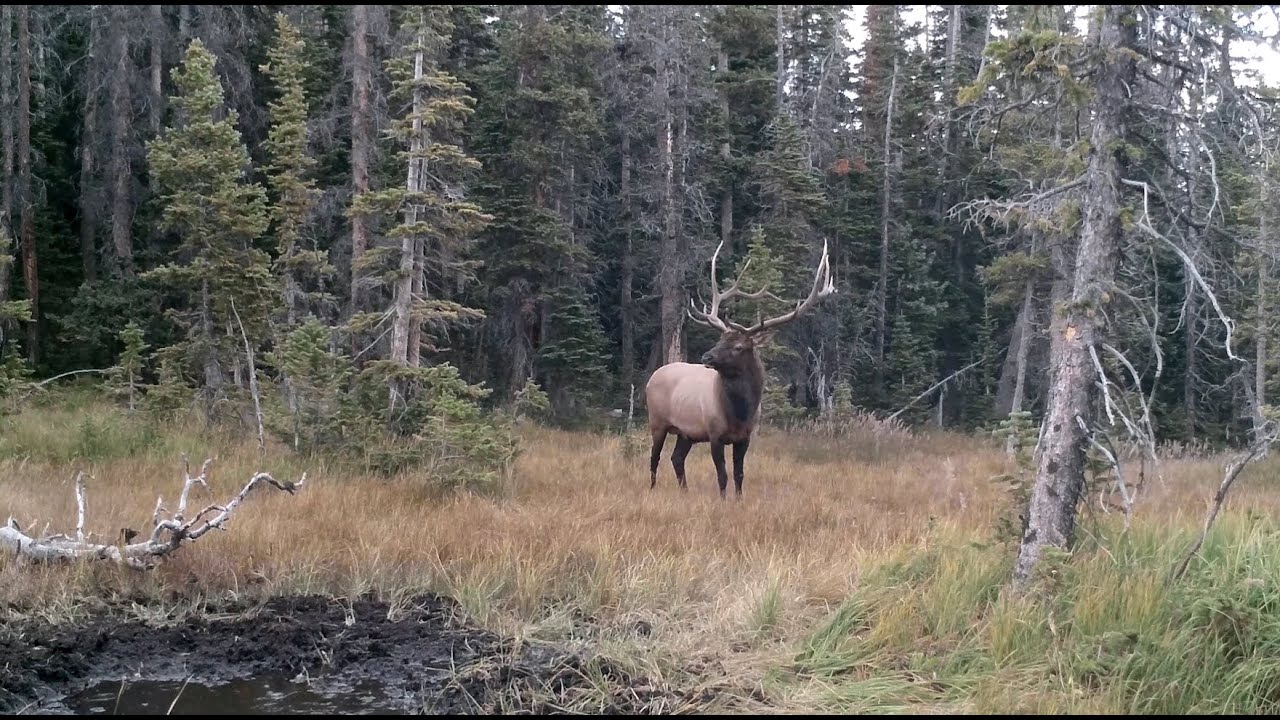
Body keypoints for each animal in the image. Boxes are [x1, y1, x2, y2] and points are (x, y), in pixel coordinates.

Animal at [644, 238, 836, 499]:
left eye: (738, 346)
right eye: (720, 339)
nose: (706, 355)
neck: (739, 413)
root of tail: (652, 377)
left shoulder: (744, 437)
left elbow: (739, 474)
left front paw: (738, 499)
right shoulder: (714, 433)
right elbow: (722, 475)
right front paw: (723, 500)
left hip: (686, 433)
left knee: (676, 458)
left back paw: (685, 491)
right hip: (657, 421)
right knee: (654, 458)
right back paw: (652, 488)